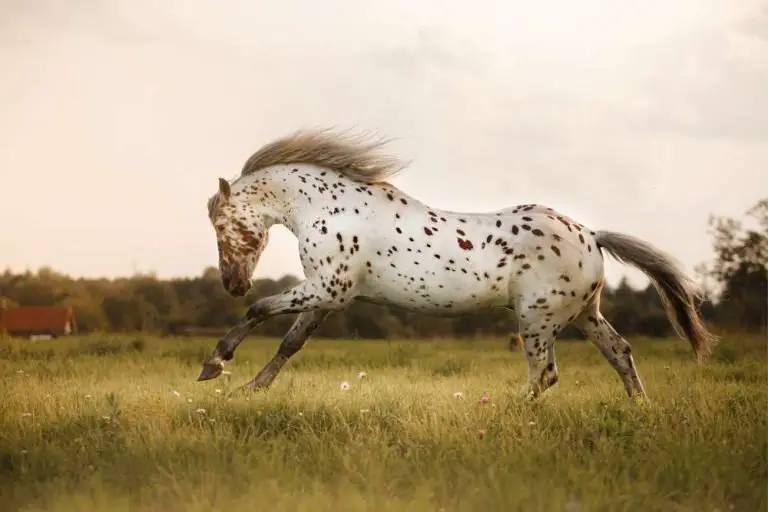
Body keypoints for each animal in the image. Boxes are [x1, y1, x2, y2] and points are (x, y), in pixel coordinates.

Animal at [196, 129, 718, 400]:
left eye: (221, 224)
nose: (231, 282)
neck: (330, 208)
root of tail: (590, 236)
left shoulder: (329, 289)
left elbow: (261, 310)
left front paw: (214, 364)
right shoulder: (326, 295)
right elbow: (290, 343)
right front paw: (252, 388)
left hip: (537, 320)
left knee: (544, 375)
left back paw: (505, 412)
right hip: (585, 315)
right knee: (620, 354)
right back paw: (640, 410)